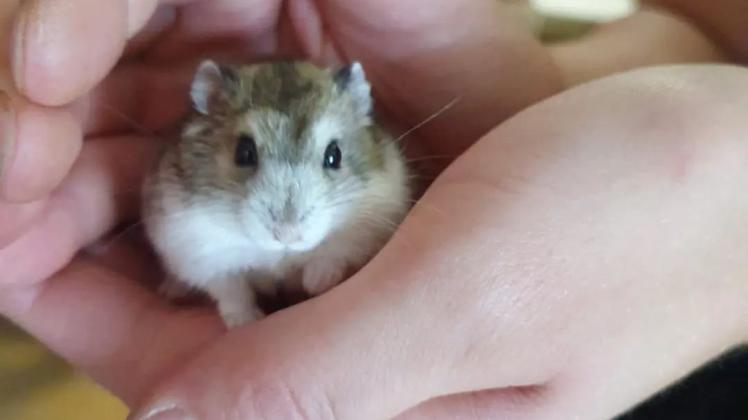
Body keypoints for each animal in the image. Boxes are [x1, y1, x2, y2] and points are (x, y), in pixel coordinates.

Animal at [141, 60, 411, 327]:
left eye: (335, 155)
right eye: (243, 152)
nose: (287, 235)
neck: (278, 254)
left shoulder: (369, 226)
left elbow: (333, 254)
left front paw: (316, 283)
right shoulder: (197, 251)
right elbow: (232, 290)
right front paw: (245, 321)